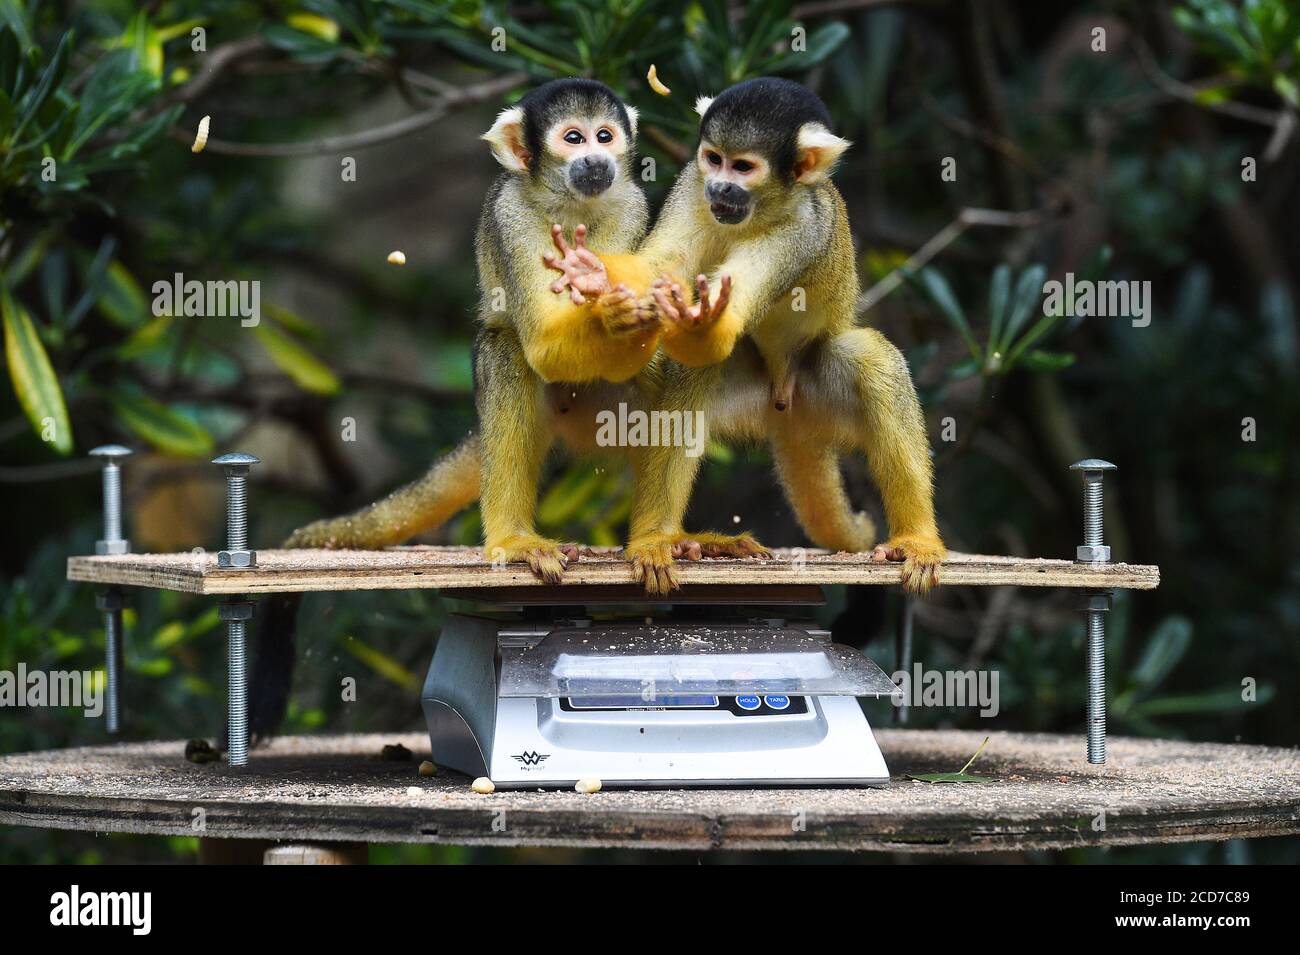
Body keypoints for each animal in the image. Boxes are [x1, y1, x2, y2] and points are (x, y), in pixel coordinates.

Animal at [548, 78, 946, 595]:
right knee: (696, 374)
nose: (720, 186)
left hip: (817, 386)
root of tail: (786, 411)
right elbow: (661, 265)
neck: (760, 210)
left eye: (743, 167)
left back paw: (917, 539)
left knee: (873, 359)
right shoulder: (691, 186)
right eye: (714, 159)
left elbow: (730, 315)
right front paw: (598, 280)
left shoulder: (802, 229)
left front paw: (699, 316)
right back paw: (660, 538)